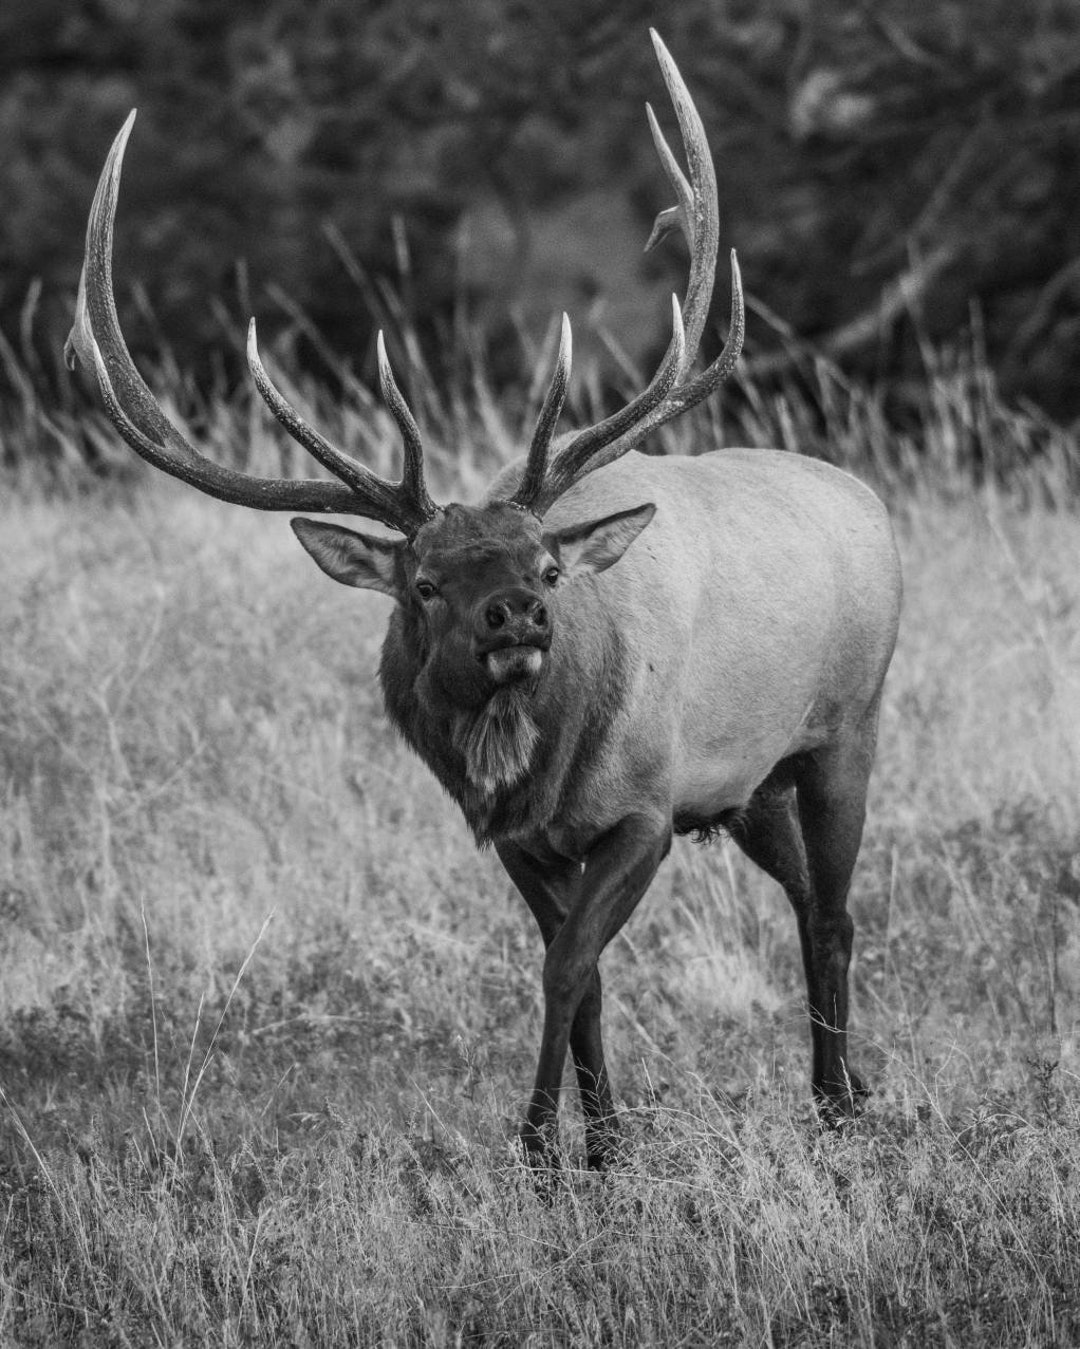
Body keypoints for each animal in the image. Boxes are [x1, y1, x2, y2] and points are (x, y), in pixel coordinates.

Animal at [66, 31, 902, 1169]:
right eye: (424, 582)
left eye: (546, 566)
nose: (516, 616)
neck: (538, 770)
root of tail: (868, 501)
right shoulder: (519, 840)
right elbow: (584, 978)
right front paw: (604, 1143)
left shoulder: (645, 807)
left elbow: (565, 969)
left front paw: (542, 1146)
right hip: (751, 788)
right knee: (816, 900)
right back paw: (851, 1085)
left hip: (846, 728)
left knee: (835, 913)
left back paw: (835, 1102)